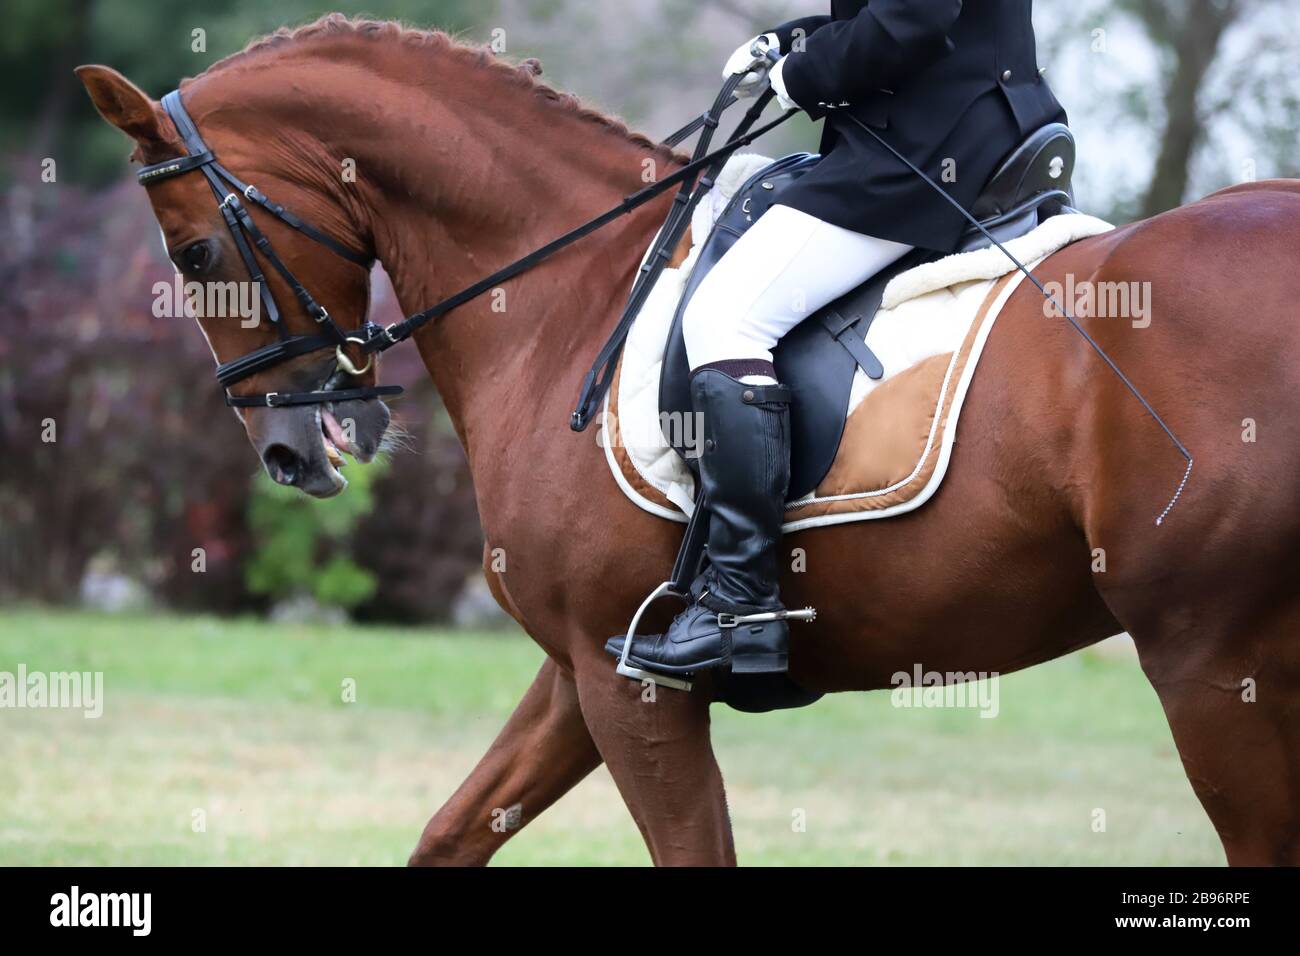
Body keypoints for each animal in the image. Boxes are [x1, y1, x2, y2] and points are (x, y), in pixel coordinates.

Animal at [78, 15, 1300, 866]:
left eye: (191, 252)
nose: (291, 451)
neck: (566, 290)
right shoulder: (582, 669)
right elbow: (450, 832)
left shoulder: (637, 689)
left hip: (1209, 663)